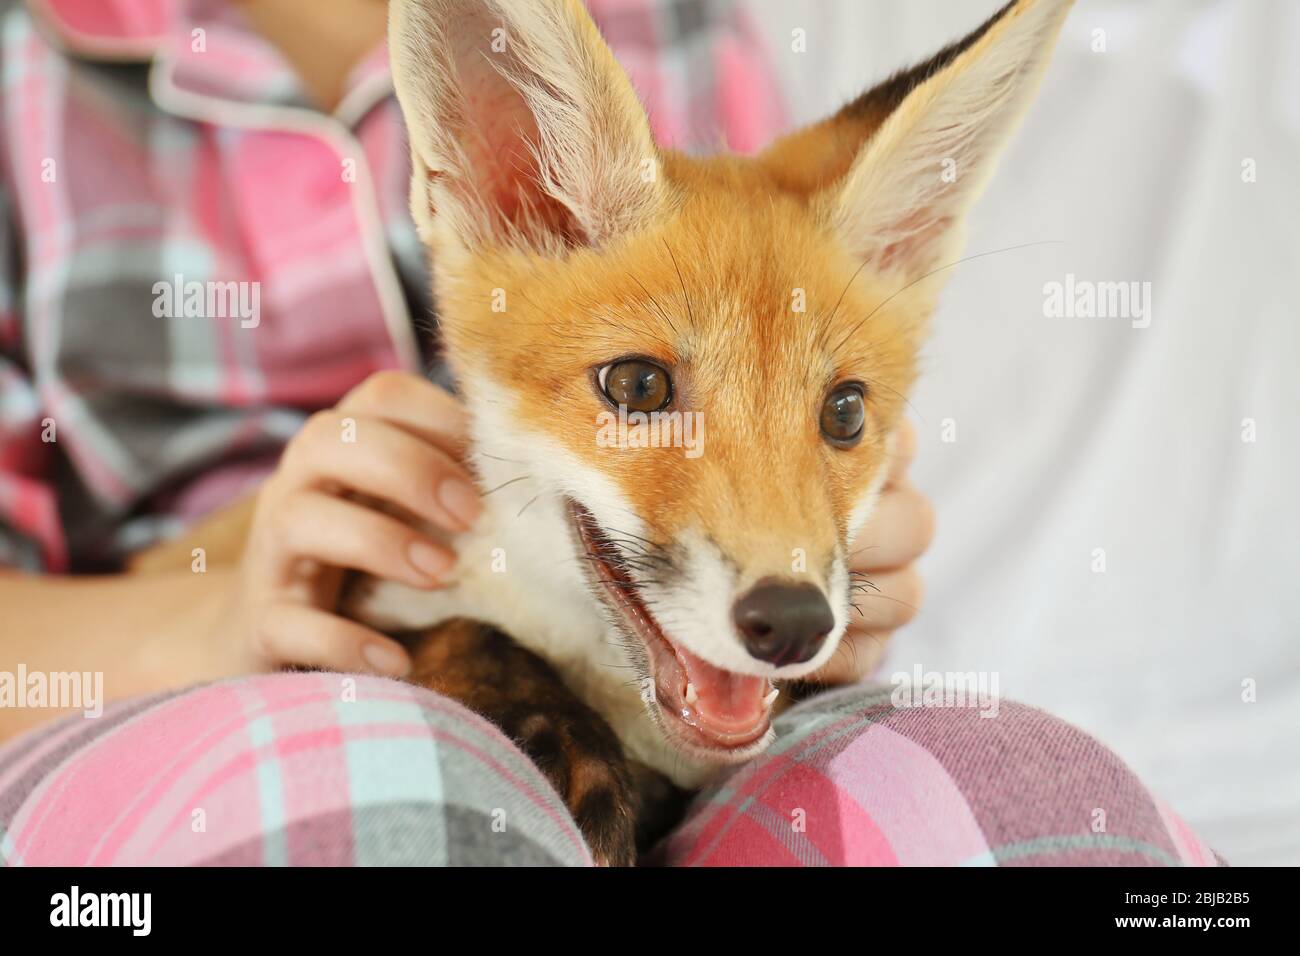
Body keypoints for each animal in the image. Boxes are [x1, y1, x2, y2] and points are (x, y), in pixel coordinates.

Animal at [133, 0, 1073, 864]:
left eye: (844, 413)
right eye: (638, 385)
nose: (793, 622)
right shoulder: (338, 617)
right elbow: (459, 635)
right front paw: (565, 745)